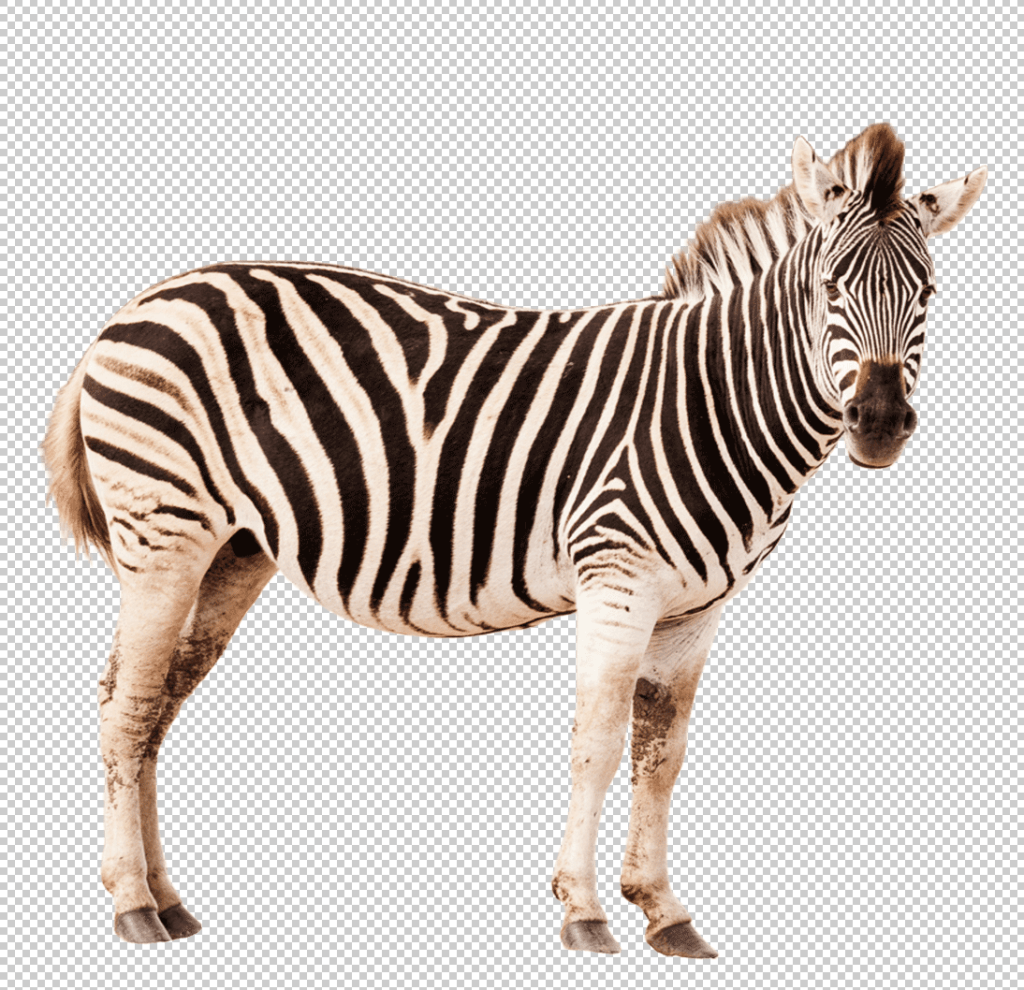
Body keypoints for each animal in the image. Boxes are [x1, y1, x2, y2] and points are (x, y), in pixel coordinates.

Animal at [43, 124, 985, 956]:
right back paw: (132, 907)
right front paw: (585, 913)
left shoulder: (694, 612)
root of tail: (138, 302)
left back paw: (167, 899)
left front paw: (665, 912)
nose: (880, 424)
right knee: (129, 708)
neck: (716, 402)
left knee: (155, 703)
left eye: (929, 293)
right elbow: (597, 742)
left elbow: (663, 754)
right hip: (163, 534)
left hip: (232, 551)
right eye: (829, 287)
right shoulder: (618, 578)